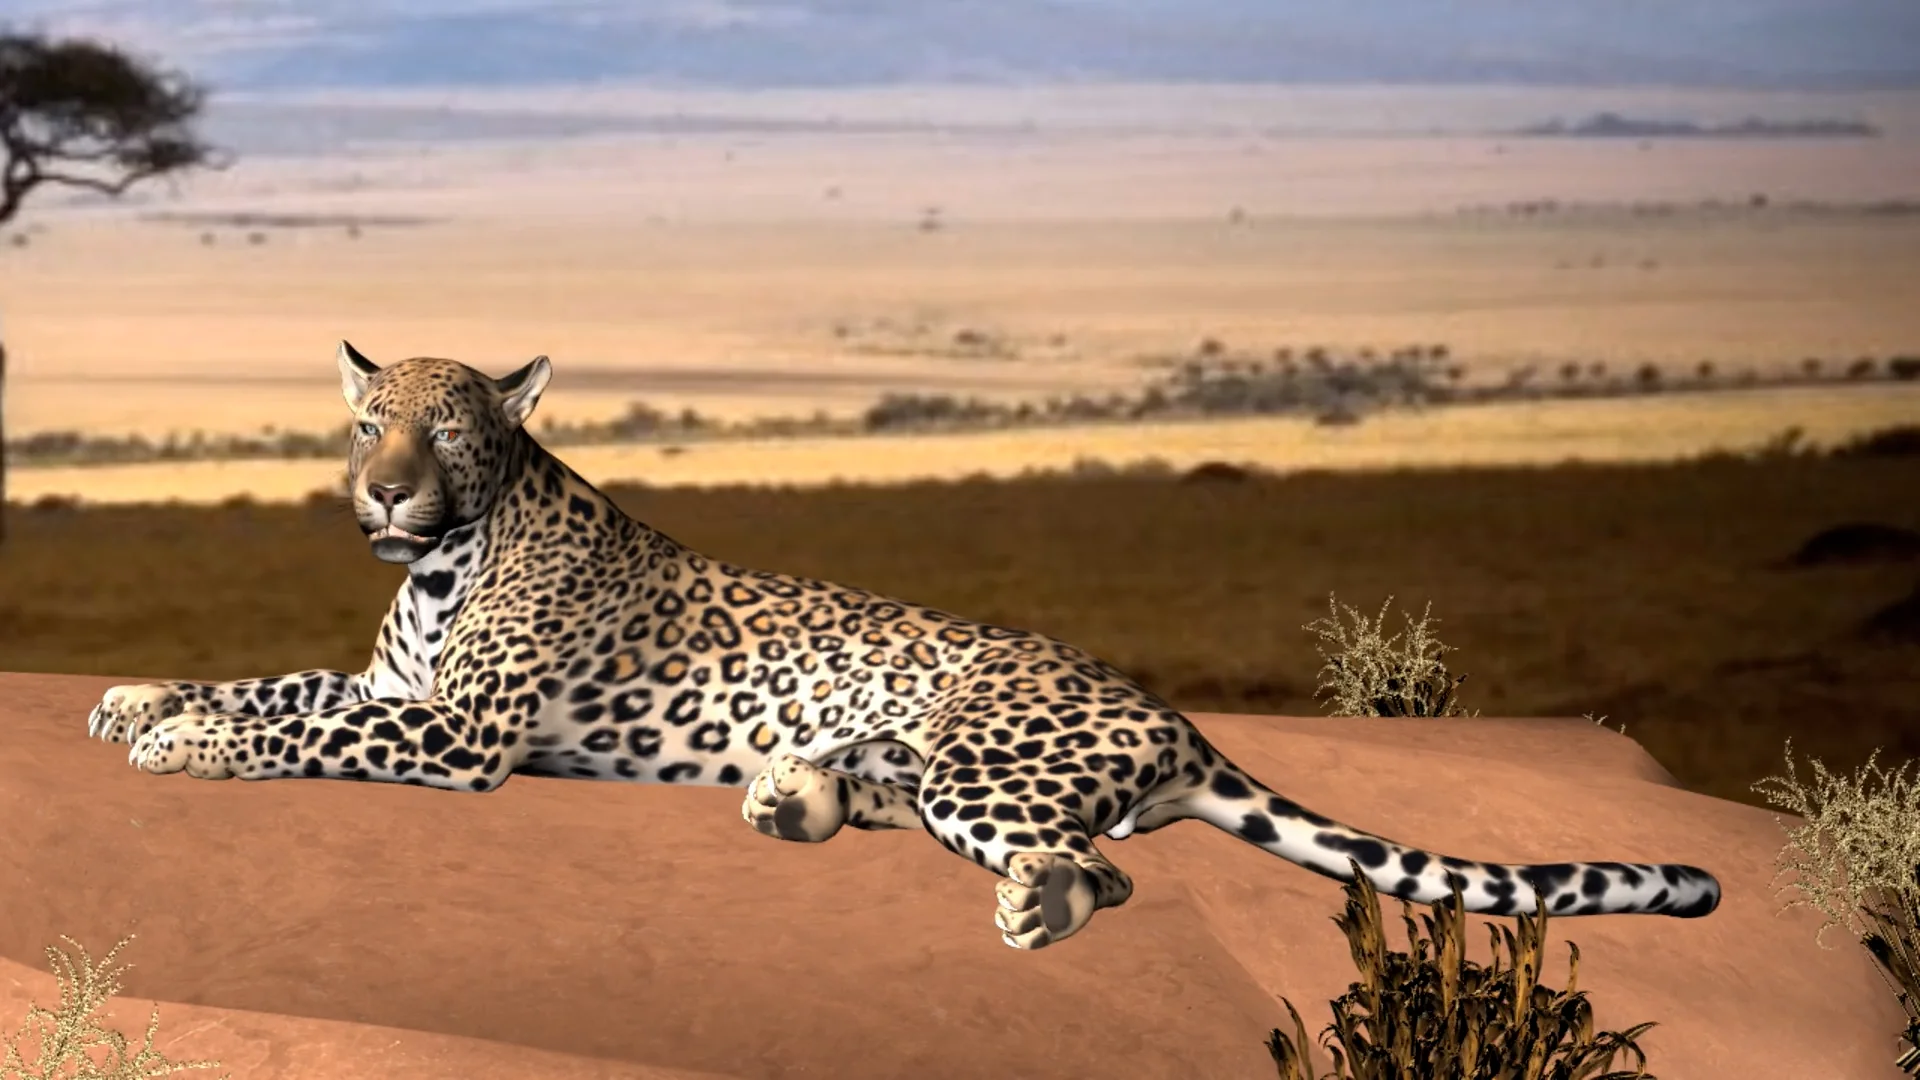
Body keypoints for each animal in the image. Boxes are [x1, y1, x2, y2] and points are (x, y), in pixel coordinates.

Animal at [86, 342, 1723, 950]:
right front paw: (140, 696)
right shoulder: (396, 686)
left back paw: (1032, 906)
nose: (384, 491)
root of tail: (1176, 719)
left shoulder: (457, 734)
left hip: (986, 763)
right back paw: (789, 796)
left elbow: (303, 725)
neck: (439, 568)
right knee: (923, 803)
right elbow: (284, 683)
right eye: (368, 421)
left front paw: (184, 740)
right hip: (921, 755)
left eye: (450, 432)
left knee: (1103, 870)